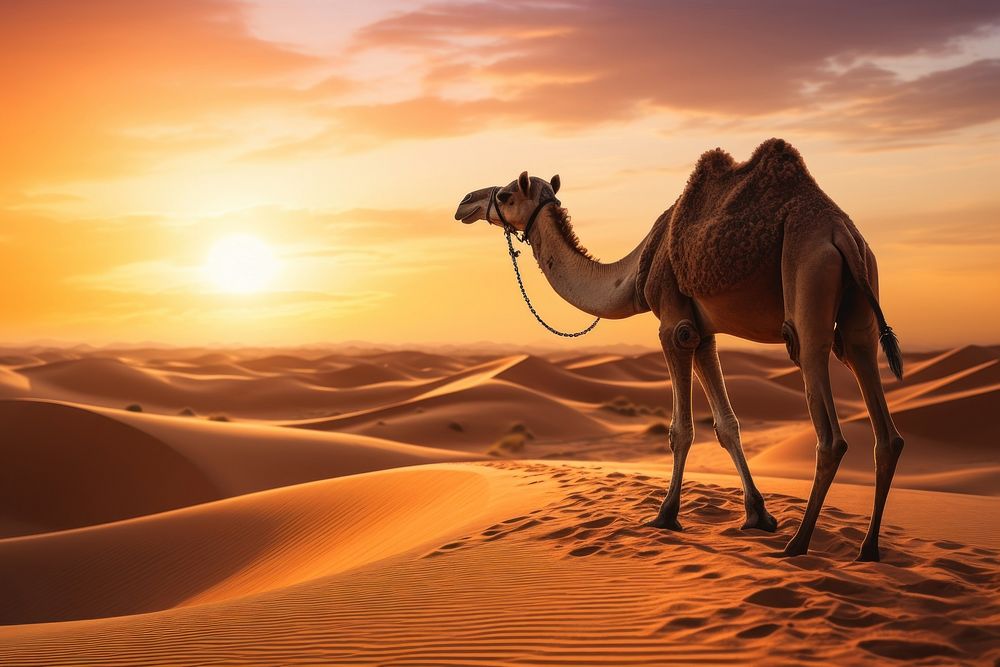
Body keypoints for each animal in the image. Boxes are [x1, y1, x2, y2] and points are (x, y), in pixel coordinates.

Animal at [454, 138, 905, 562]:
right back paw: (868, 549)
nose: (465, 202)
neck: (634, 271)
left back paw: (798, 544)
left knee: (827, 424)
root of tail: (840, 232)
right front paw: (758, 515)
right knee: (885, 425)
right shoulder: (703, 333)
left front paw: (666, 514)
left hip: (807, 283)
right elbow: (727, 425)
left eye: (506, 195)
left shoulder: (675, 326)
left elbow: (681, 430)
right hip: (861, 307)